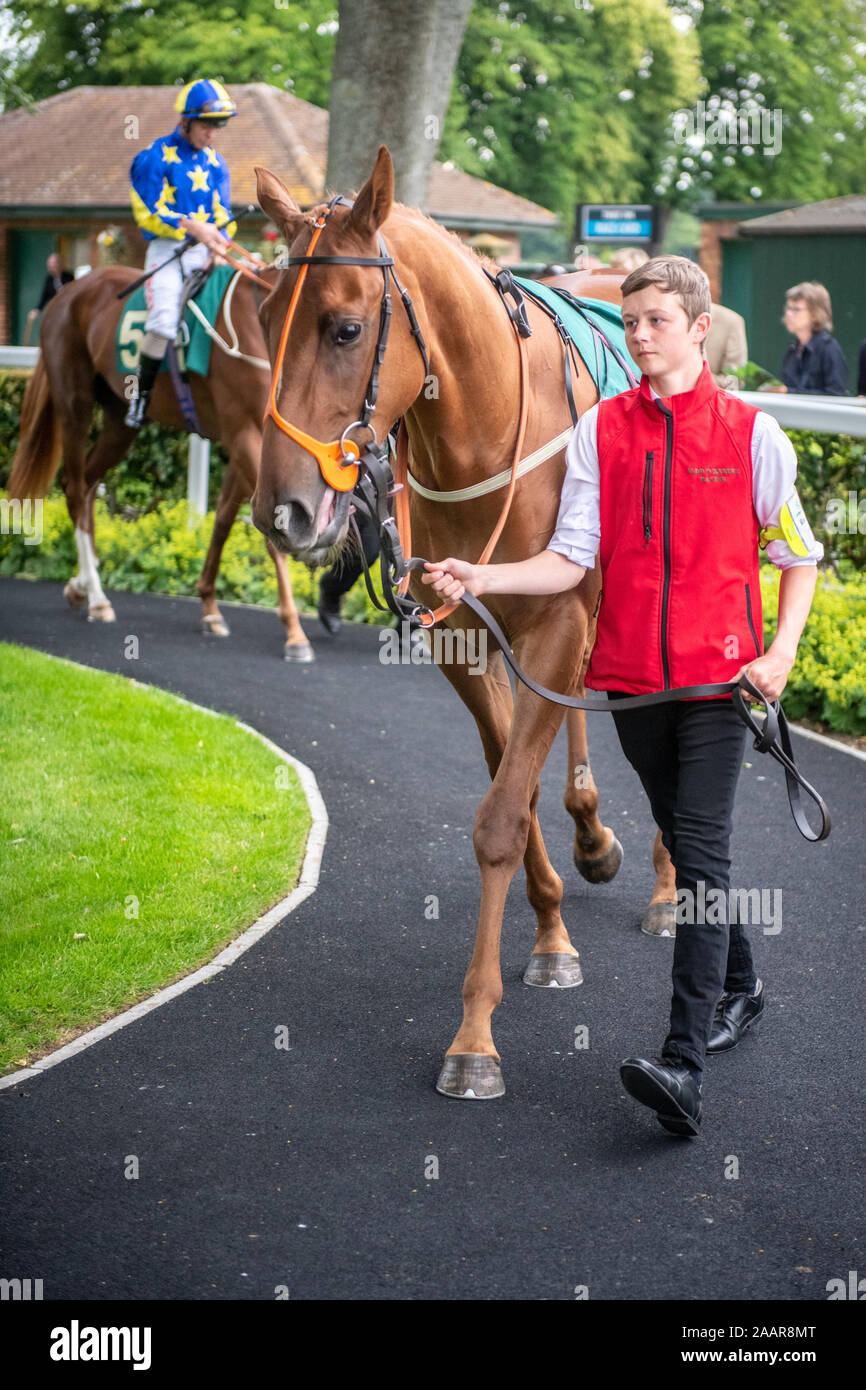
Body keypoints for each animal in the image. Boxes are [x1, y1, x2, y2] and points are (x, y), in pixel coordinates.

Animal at [7, 263, 313, 661]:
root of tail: (69, 291)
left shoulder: (252, 443)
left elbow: (223, 519)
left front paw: (210, 608)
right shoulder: (245, 433)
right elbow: (271, 528)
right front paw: (294, 632)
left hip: (120, 419)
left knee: (88, 484)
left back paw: (83, 585)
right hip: (74, 403)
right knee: (74, 487)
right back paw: (97, 597)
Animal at [251, 147, 677, 1098]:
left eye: (344, 329)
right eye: (261, 317)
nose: (281, 511)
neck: (487, 436)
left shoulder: (556, 624)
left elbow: (500, 813)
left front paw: (476, 1035)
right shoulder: (461, 632)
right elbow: (510, 787)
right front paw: (551, 932)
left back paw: (671, 885)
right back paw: (593, 831)